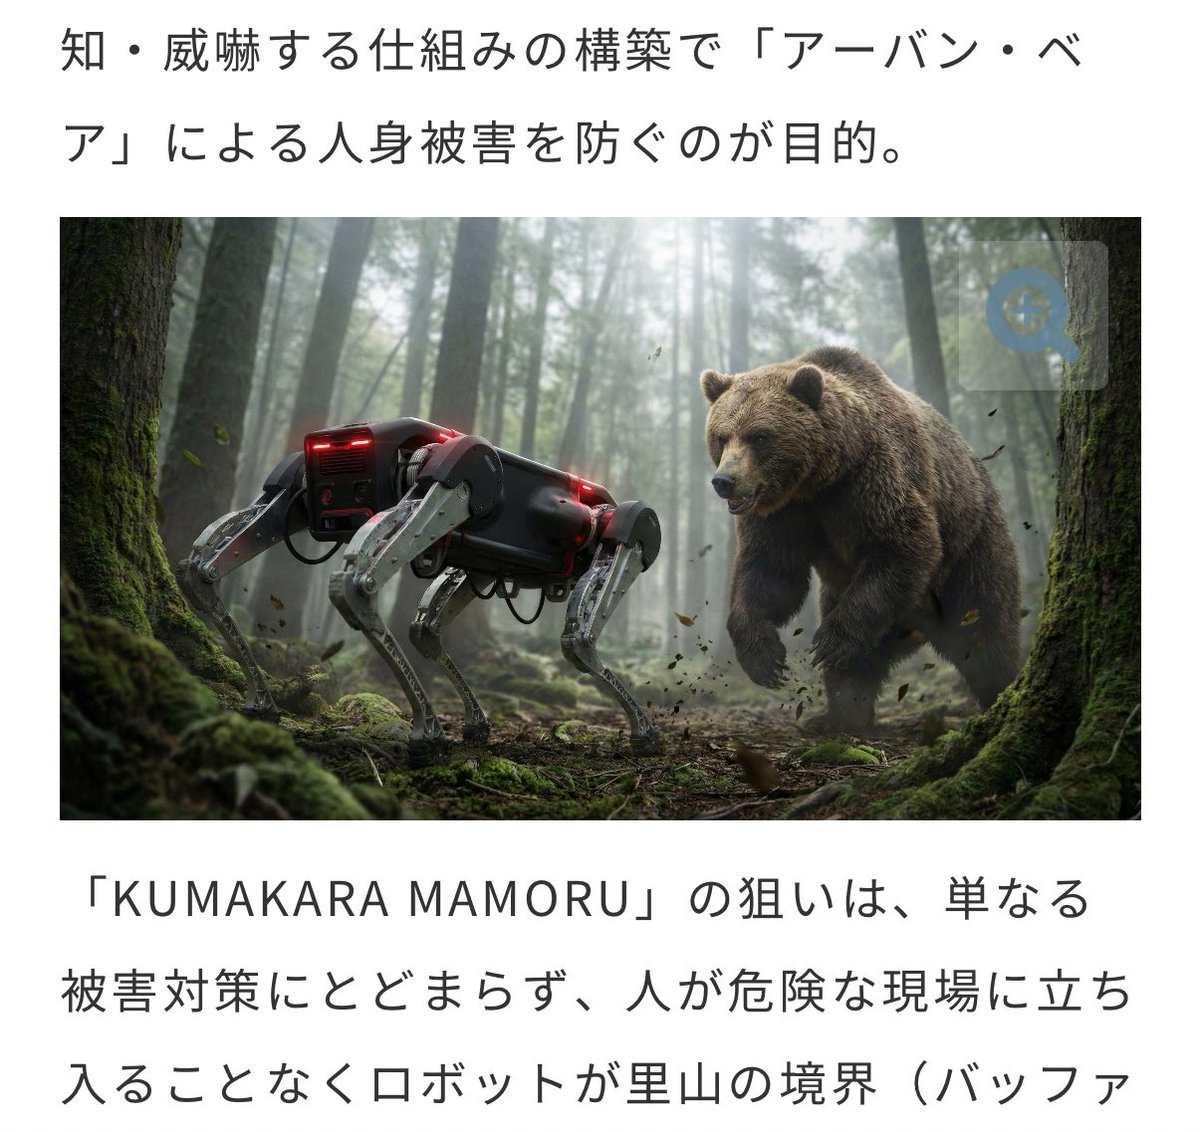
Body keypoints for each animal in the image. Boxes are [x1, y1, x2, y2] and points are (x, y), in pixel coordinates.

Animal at [700, 345, 1020, 731]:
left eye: (759, 436)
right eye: (721, 436)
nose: (724, 481)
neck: (818, 479)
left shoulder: (870, 479)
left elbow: (903, 541)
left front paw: (828, 642)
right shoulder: (784, 515)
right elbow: (771, 573)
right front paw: (765, 658)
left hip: (971, 545)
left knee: (985, 632)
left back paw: (1001, 693)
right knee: (861, 665)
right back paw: (838, 716)